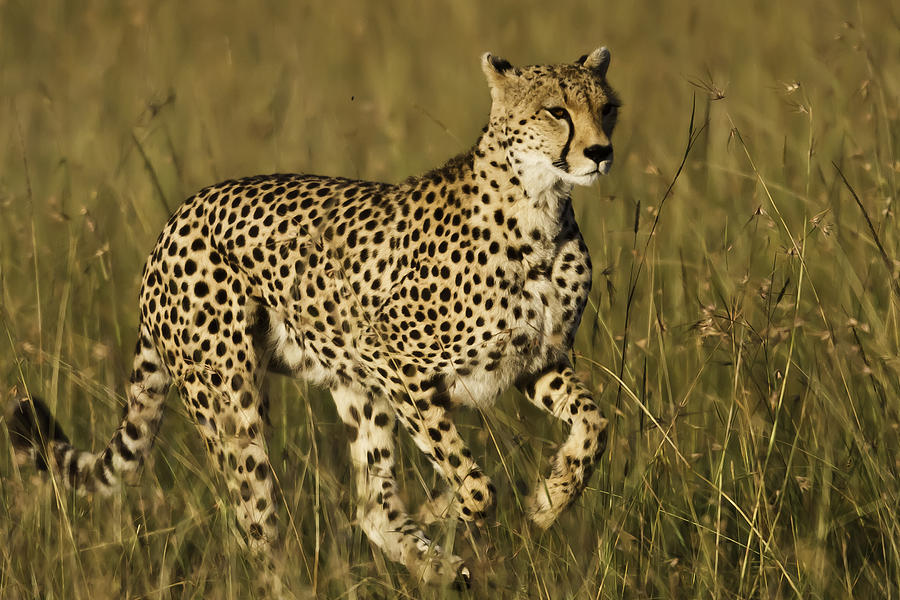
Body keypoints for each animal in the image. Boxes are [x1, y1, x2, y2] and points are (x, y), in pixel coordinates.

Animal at [9, 46, 619, 593]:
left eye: (606, 107)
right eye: (556, 110)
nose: (600, 151)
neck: (540, 211)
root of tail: (178, 216)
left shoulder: (536, 361)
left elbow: (596, 425)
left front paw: (546, 501)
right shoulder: (390, 354)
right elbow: (476, 483)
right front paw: (451, 508)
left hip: (357, 390)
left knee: (371, 508)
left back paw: (437, 567)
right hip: (233, 404)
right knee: (260, 528)